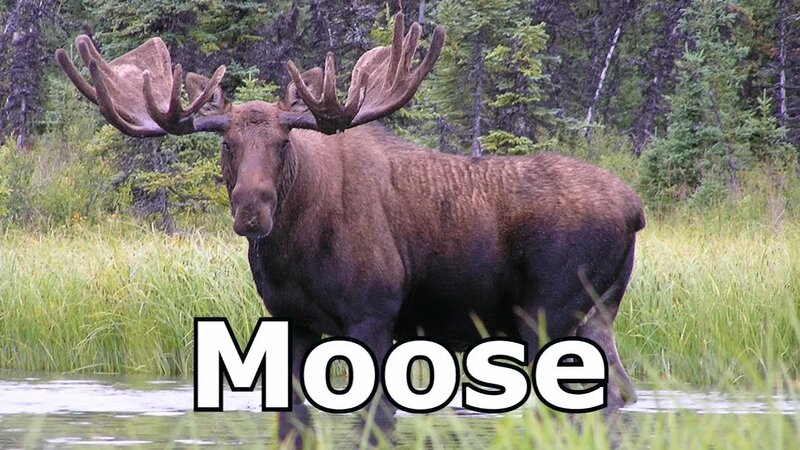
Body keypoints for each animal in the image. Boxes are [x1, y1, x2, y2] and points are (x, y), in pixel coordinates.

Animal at [57, 13, 644, 447]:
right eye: (226, 144)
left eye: (283, 143)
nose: (252, 211)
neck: (294, 252)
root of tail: (634, 207)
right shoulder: (290, 319)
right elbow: (293, 422)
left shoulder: (374, 314)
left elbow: (374, 423)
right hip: (598, 313)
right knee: (620, 395)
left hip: (546, 313)